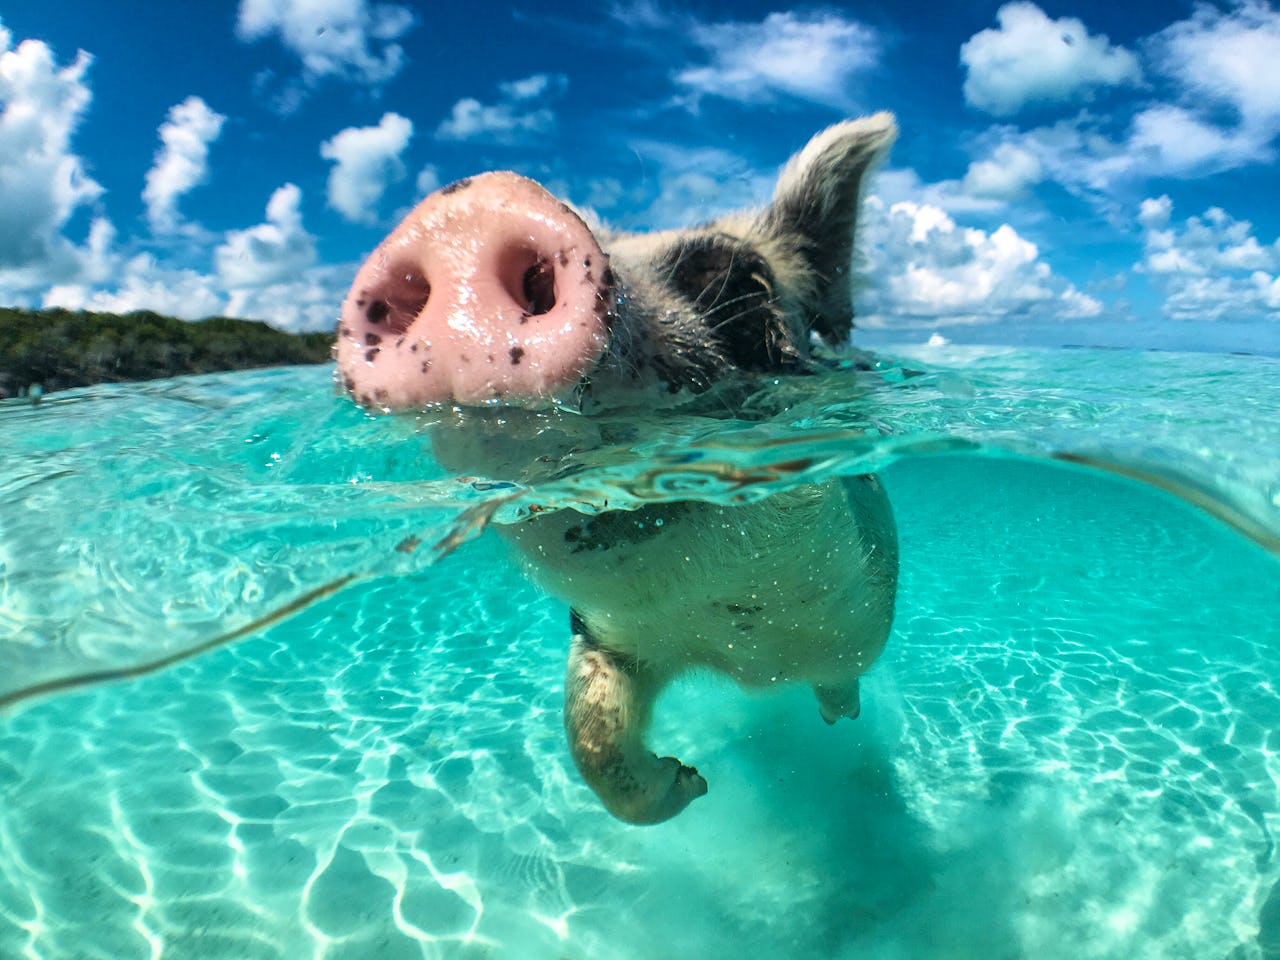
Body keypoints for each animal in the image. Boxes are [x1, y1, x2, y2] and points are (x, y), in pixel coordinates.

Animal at [335, 113, 900, 824]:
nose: (466, 210)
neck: (737, 647)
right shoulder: (605, 636)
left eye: (742, 284)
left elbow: (840, 674)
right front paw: (692, 781)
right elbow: (592, 738)